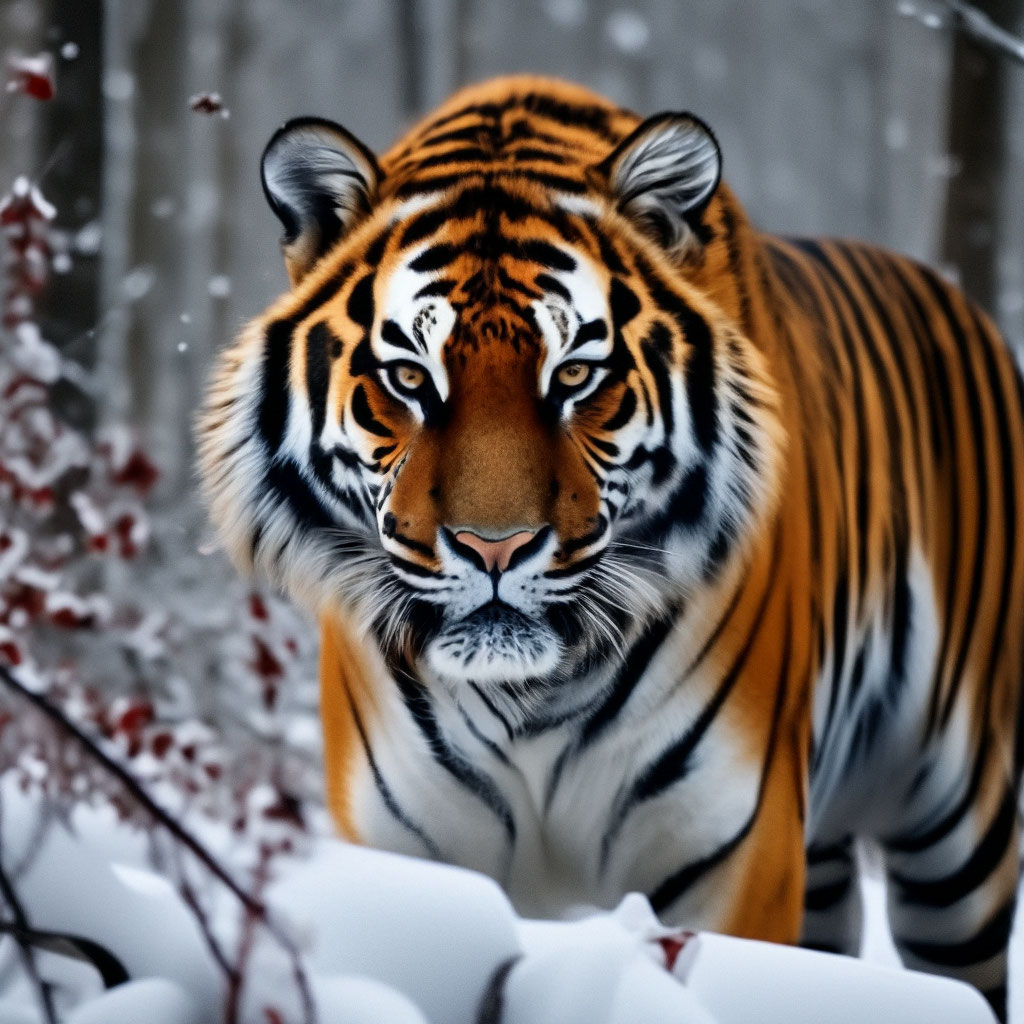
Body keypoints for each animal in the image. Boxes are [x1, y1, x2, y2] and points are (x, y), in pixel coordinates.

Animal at [197, 75, 1024, 1019]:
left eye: (574, 375)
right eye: (409, 377)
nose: (493, 548)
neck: (526, 698)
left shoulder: (734, 857)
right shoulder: (409, 845)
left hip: (957, 843)